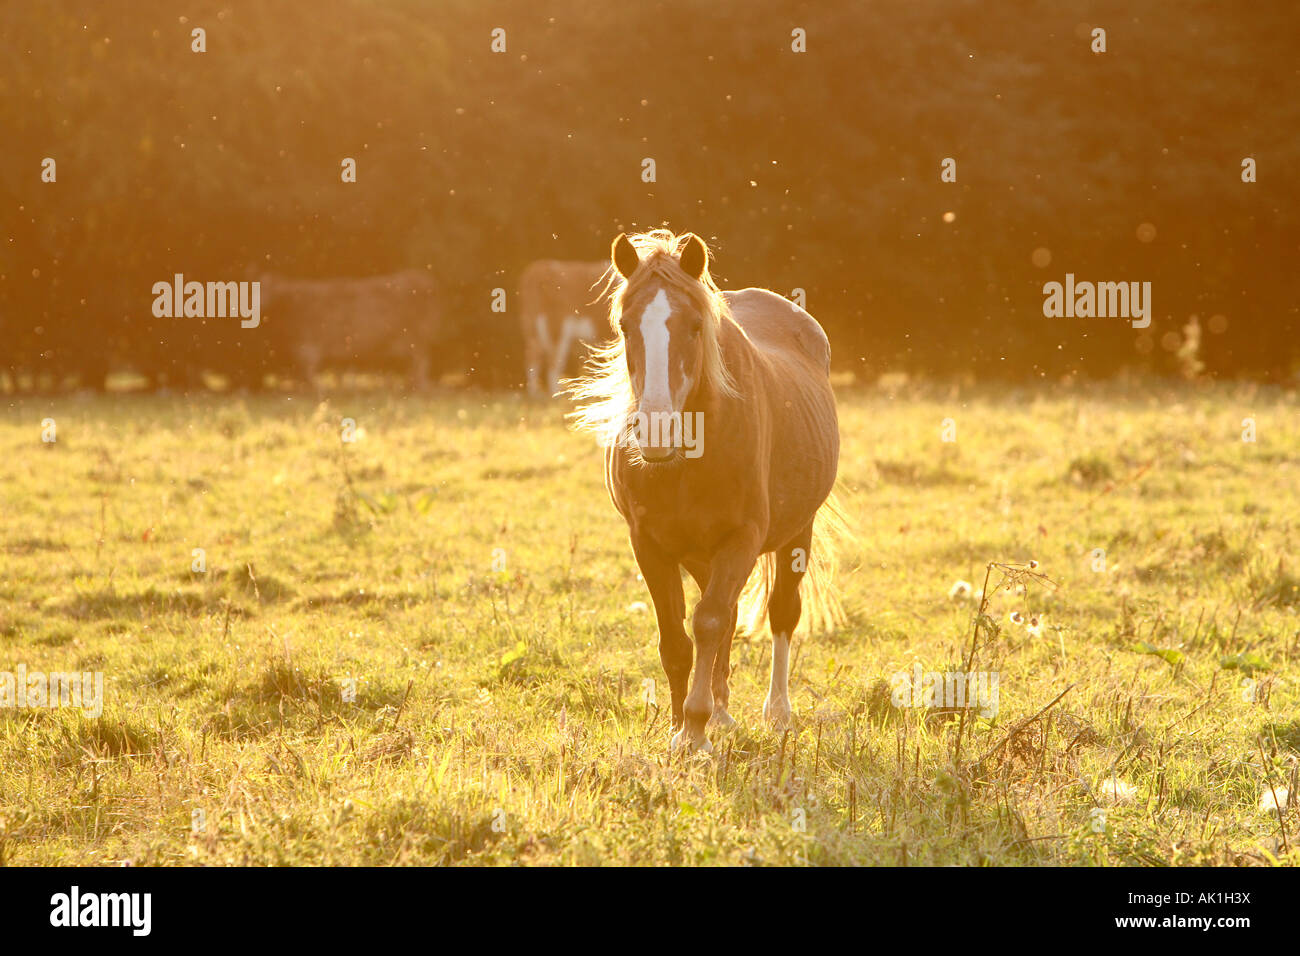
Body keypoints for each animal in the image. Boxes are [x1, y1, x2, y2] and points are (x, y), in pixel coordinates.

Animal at [519, 260, 617, 397]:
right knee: (553, 363)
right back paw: (556, 395)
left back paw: (534, 394)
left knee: (532, 357)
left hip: (531, 327)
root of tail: (540, 267)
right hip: (557, 328)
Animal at [567, 229, 846, 753]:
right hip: (702, 556)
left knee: (780, 613)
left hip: (796, 531)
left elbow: (709, 622)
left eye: (696, 326)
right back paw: (721, 711)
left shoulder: (742, 540)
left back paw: (775, 712)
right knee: (728, 617)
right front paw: (681, 727)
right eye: (625, 326)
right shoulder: (649, 545)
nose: (657, 430)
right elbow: (677, 637)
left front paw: (694, 730)